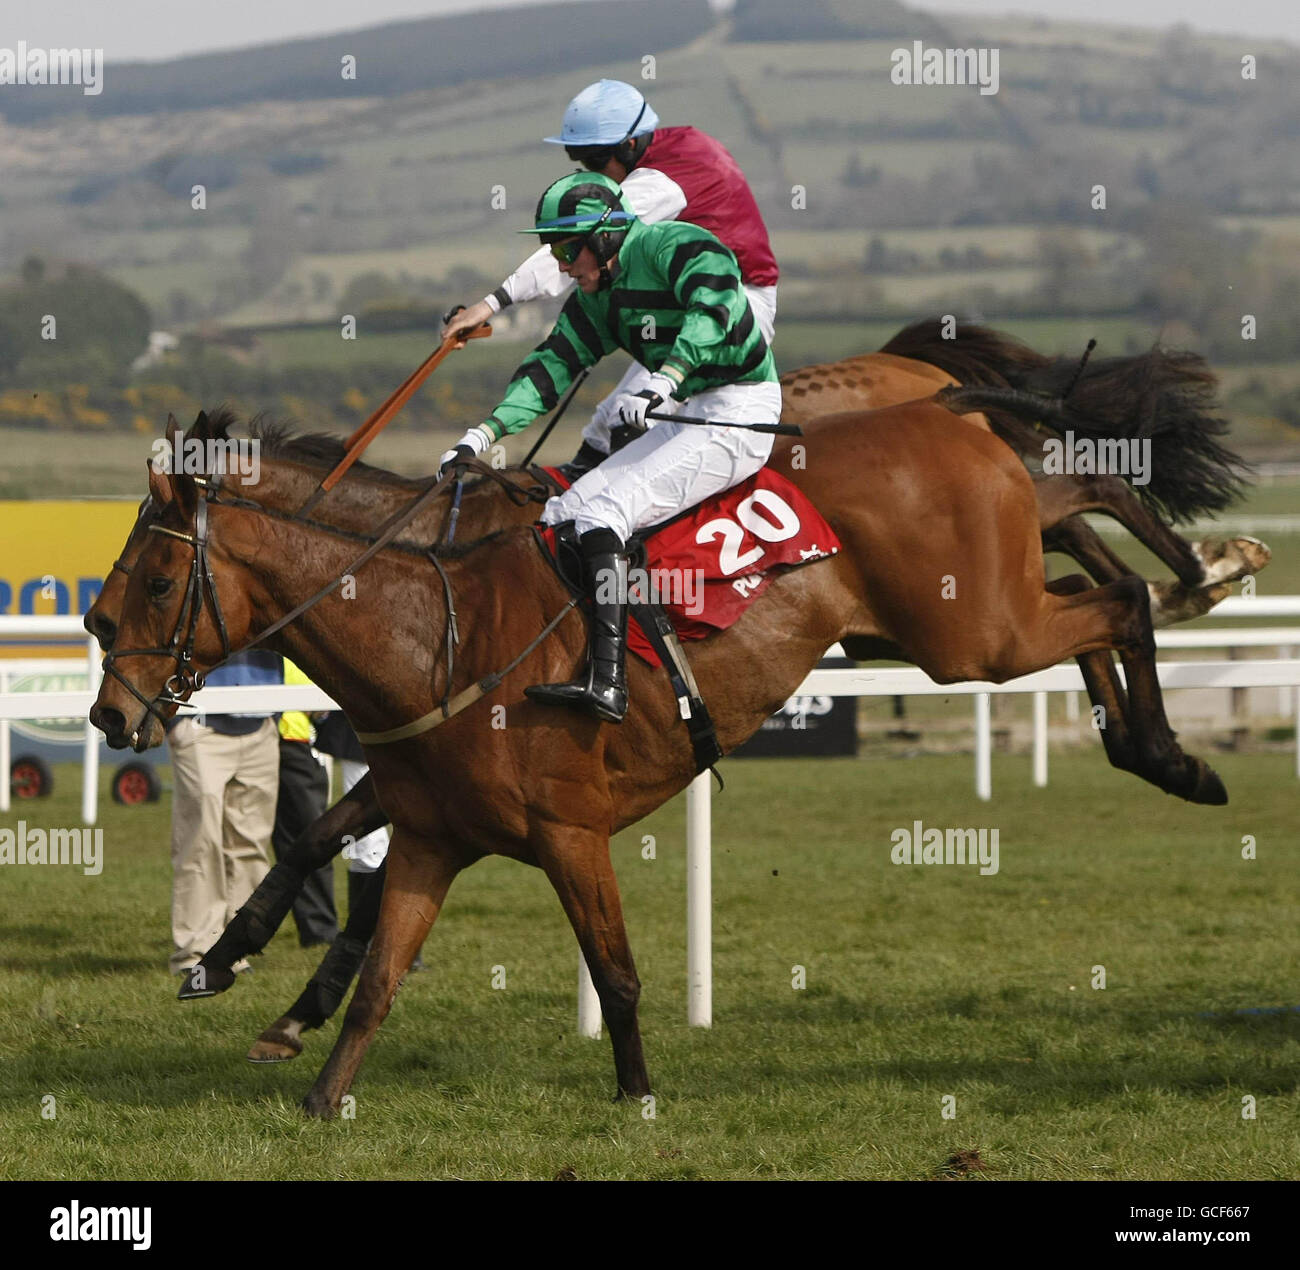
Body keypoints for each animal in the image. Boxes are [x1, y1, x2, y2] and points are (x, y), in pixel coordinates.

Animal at [86, 392, 1222, 1112]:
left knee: (1114, 587)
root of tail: (954, 417)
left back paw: (1178, 729)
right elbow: (358, 929)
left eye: (156, 580)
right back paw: (1157, 712)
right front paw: (287, 1043)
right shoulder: (427, 827)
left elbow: (616, 969)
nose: (108, 714)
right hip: (955, 620)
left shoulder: (568, 830)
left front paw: (634, 1092)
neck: (437, 632)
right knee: (1084, 569)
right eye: (108, 596)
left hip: (970, 631)